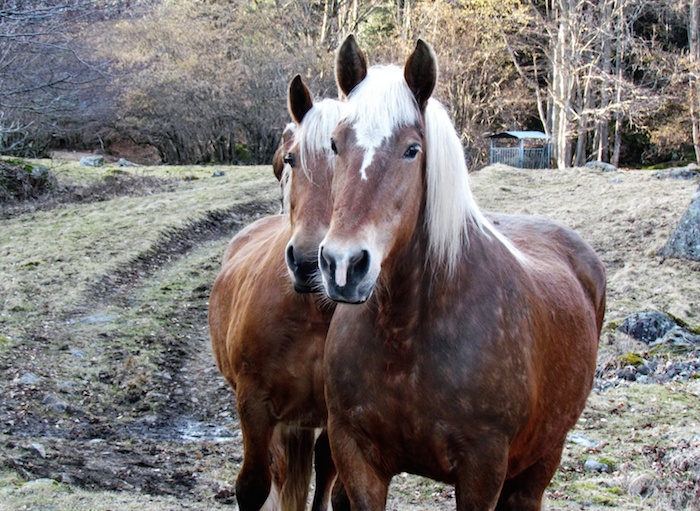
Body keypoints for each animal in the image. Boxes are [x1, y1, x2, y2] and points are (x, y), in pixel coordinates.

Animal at [208, 75, 344, 511]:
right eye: (291, 159)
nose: (308, 263)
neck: (311, 312)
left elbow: (328, 482)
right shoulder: (254, 406)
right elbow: (253, 485)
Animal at [316, 36, 606, 511]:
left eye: (412, 150)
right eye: (336, 144)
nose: (343, 264)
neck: (407, 336)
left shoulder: (482, 469)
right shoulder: (355, 454)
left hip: (542, 460)